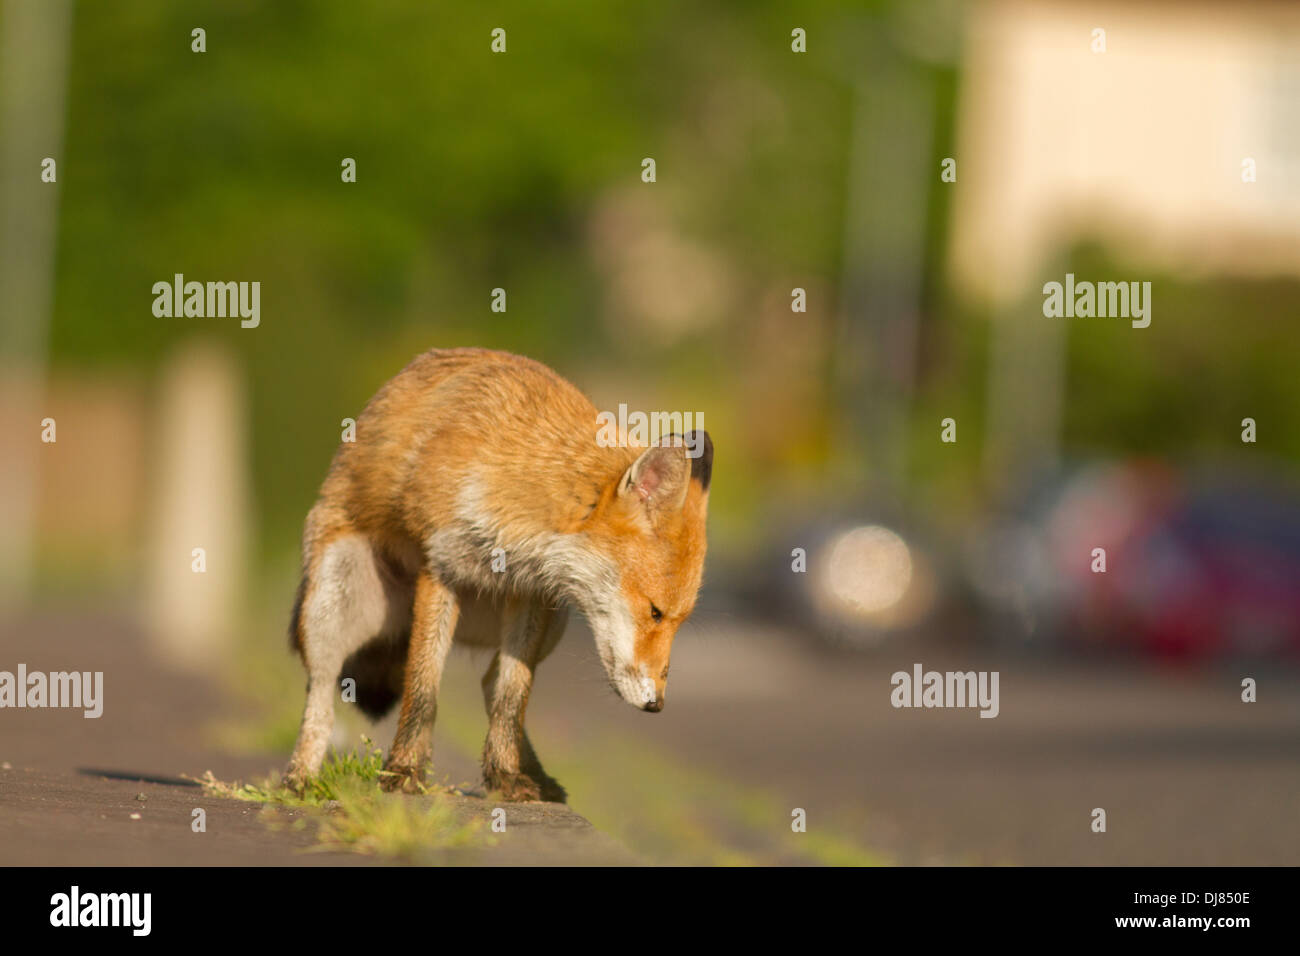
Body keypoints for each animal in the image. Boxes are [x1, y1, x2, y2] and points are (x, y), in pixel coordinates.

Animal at [283, 347, 712, 801]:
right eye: (655, 612)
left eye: (677, 621)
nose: (657, 704)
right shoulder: (441, 569)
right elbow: (423, 690)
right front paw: (404, 770)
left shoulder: (534, 596)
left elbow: (511, 697)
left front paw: (504, 775)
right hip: (332, 600)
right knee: (321, 694)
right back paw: (300, 779)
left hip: (553, 623)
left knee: (491, 682)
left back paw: (535, 776)